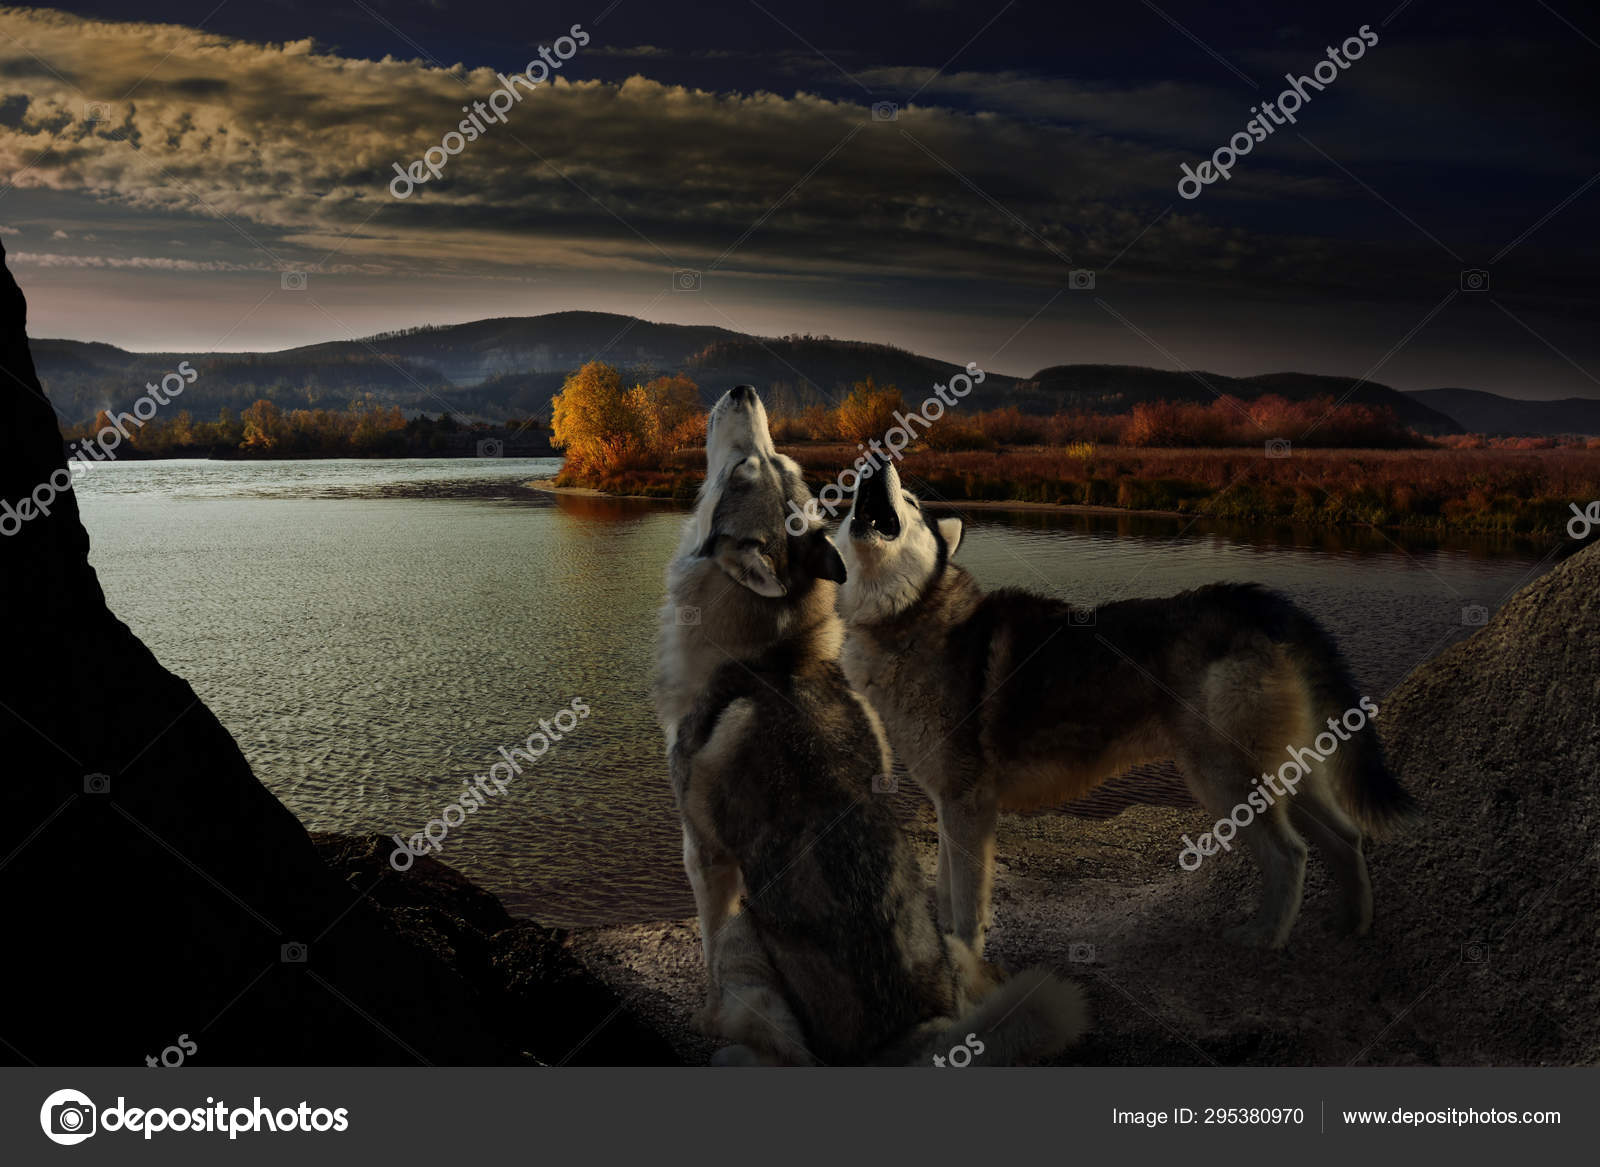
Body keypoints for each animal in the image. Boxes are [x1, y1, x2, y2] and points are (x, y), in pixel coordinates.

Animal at [653, 386, 1087, 1064]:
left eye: (753, 466)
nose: (746, 389)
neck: (769, 654)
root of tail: (907, 1038)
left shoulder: (704, 852)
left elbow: (705, 942)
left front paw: (705, 1014)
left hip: (747, 937)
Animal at [836, 460, 1417, 952]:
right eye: (849, 502)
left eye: (911, 500)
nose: (875, 462)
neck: (908, 616)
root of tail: (1253, 600)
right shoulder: (946, 803)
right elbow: (946, 895)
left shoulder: (968, 805)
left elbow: (963, 908)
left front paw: (965, 964)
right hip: (1284, 778)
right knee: (1346, 838)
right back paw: (1352, 926)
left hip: (1225, 780)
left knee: (1290, 855)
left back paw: (1266, 938)